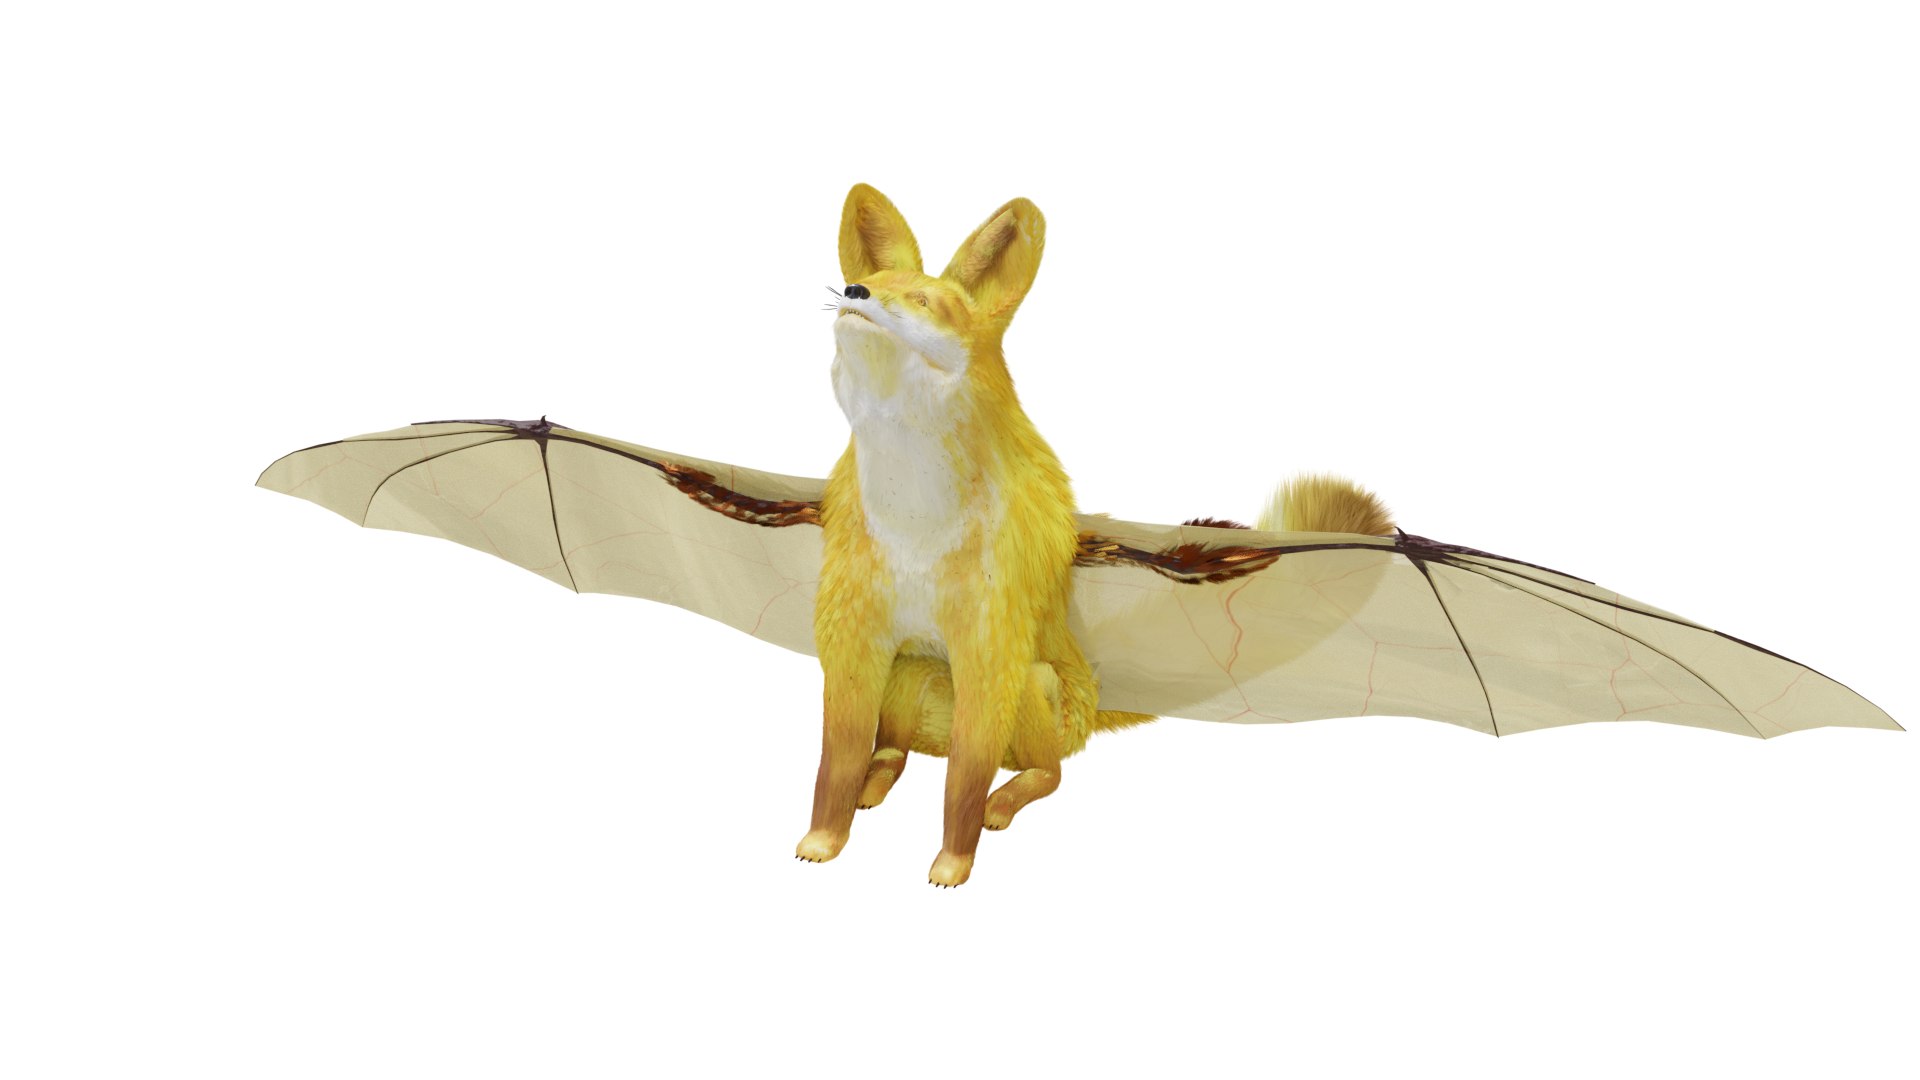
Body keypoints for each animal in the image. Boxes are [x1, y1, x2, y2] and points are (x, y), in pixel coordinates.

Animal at [799, 185, 1393, 886]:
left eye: (923, 301)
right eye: (868, 282)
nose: (855, 291)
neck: (914, 523)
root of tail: (1090, 692)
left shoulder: (990, 651)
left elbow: (963, 788)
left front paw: (952, 863)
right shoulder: (855, 634)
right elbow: (834, 765)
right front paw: (822, 840)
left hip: (1033, 686)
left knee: (1047, 769)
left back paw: (1007, 797)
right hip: (909, 672)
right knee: (896, 749)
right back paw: (879, 779)